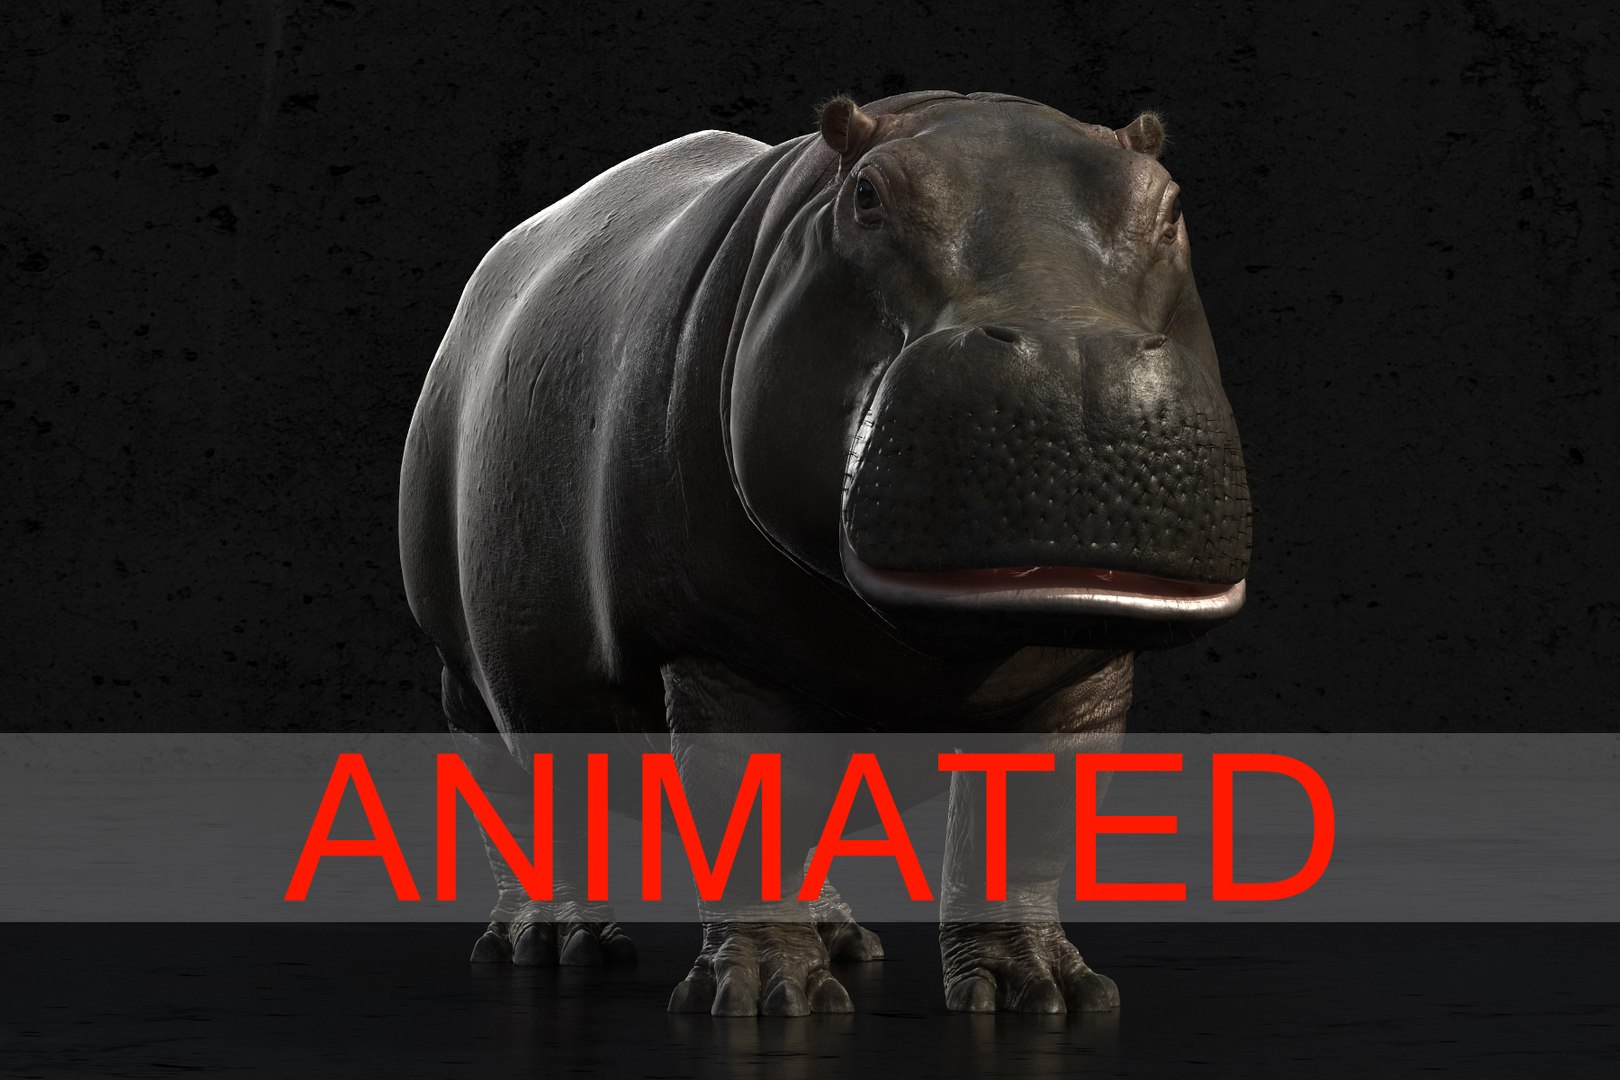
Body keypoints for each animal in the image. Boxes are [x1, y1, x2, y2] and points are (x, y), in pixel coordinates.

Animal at [399, 90, 1251, 1016]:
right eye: (866, 198)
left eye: (1169, 203)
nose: (1073, 364)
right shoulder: (717, 647)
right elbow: (747, 811)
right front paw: (764, 999)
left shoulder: (1080, 674)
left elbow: (1027, 826)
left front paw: (1048, 994)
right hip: (465, 671)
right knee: (518, 799)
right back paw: (559, 947)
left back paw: (843, 941)